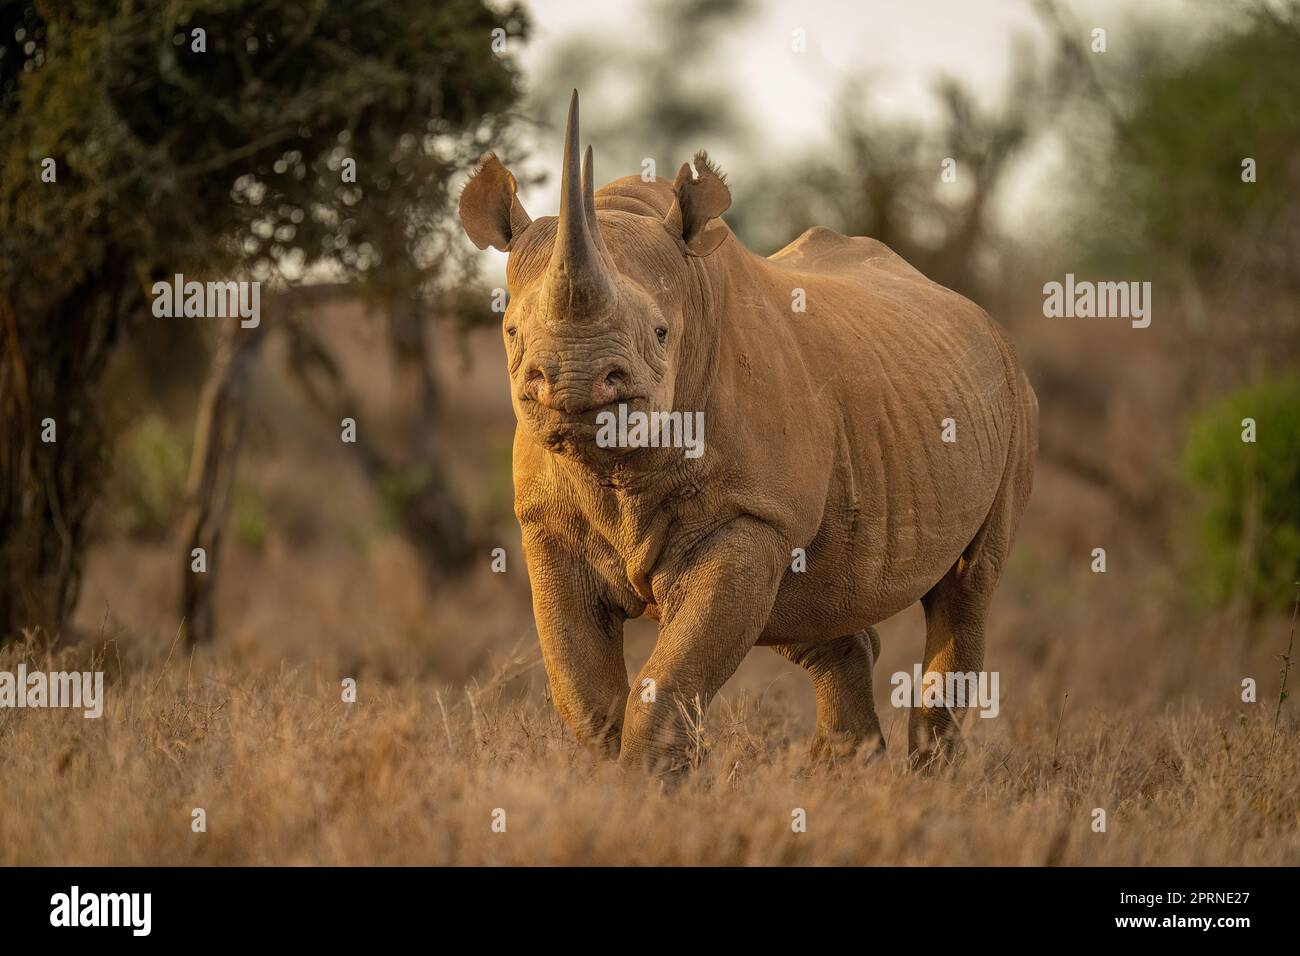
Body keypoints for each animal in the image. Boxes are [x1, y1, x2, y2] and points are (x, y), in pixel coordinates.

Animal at [458, 92, 1037, 772]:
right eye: (511, 332)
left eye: (660, 334)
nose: (574, 382)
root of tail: (978, 315)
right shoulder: (547, 521)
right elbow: (585, 694)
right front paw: (624, 781)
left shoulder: (750, 513)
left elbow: (668, 681)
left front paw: (648, 786)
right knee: (812, 604)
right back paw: (847, 773)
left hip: (1013, 396)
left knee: (968, 586)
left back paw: (927, 781)